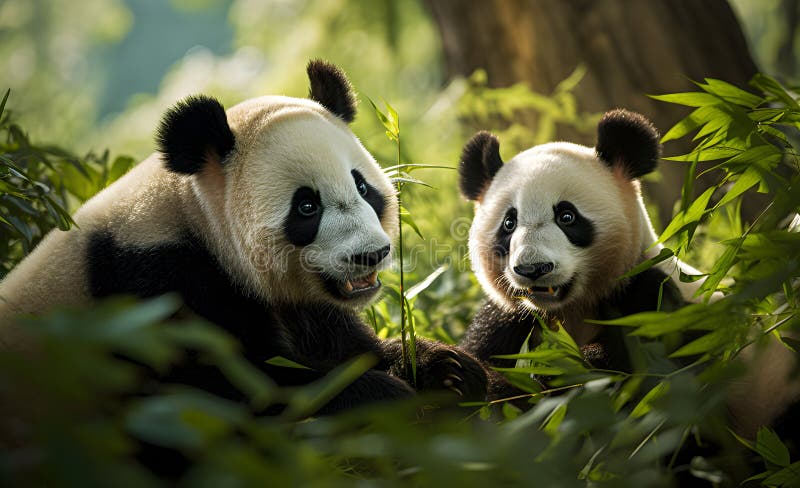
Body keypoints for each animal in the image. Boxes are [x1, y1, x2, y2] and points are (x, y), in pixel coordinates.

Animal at [0, 60, 486, 413]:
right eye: (306, 206)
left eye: (363, 187)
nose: (373, 254)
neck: (194, 217)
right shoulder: (153, 287)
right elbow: (235, 388)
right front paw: (385, 397)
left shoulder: (302, 303)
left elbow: (346, 346)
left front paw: (447, 369)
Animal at [456, 109, 798, 441]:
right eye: (509, 223)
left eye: (567, 216)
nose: (533, 269)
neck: (569, 309)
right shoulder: (510, 321)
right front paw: (453, 372)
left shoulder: (655, 303)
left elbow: (638, 383)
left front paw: (557, 369)